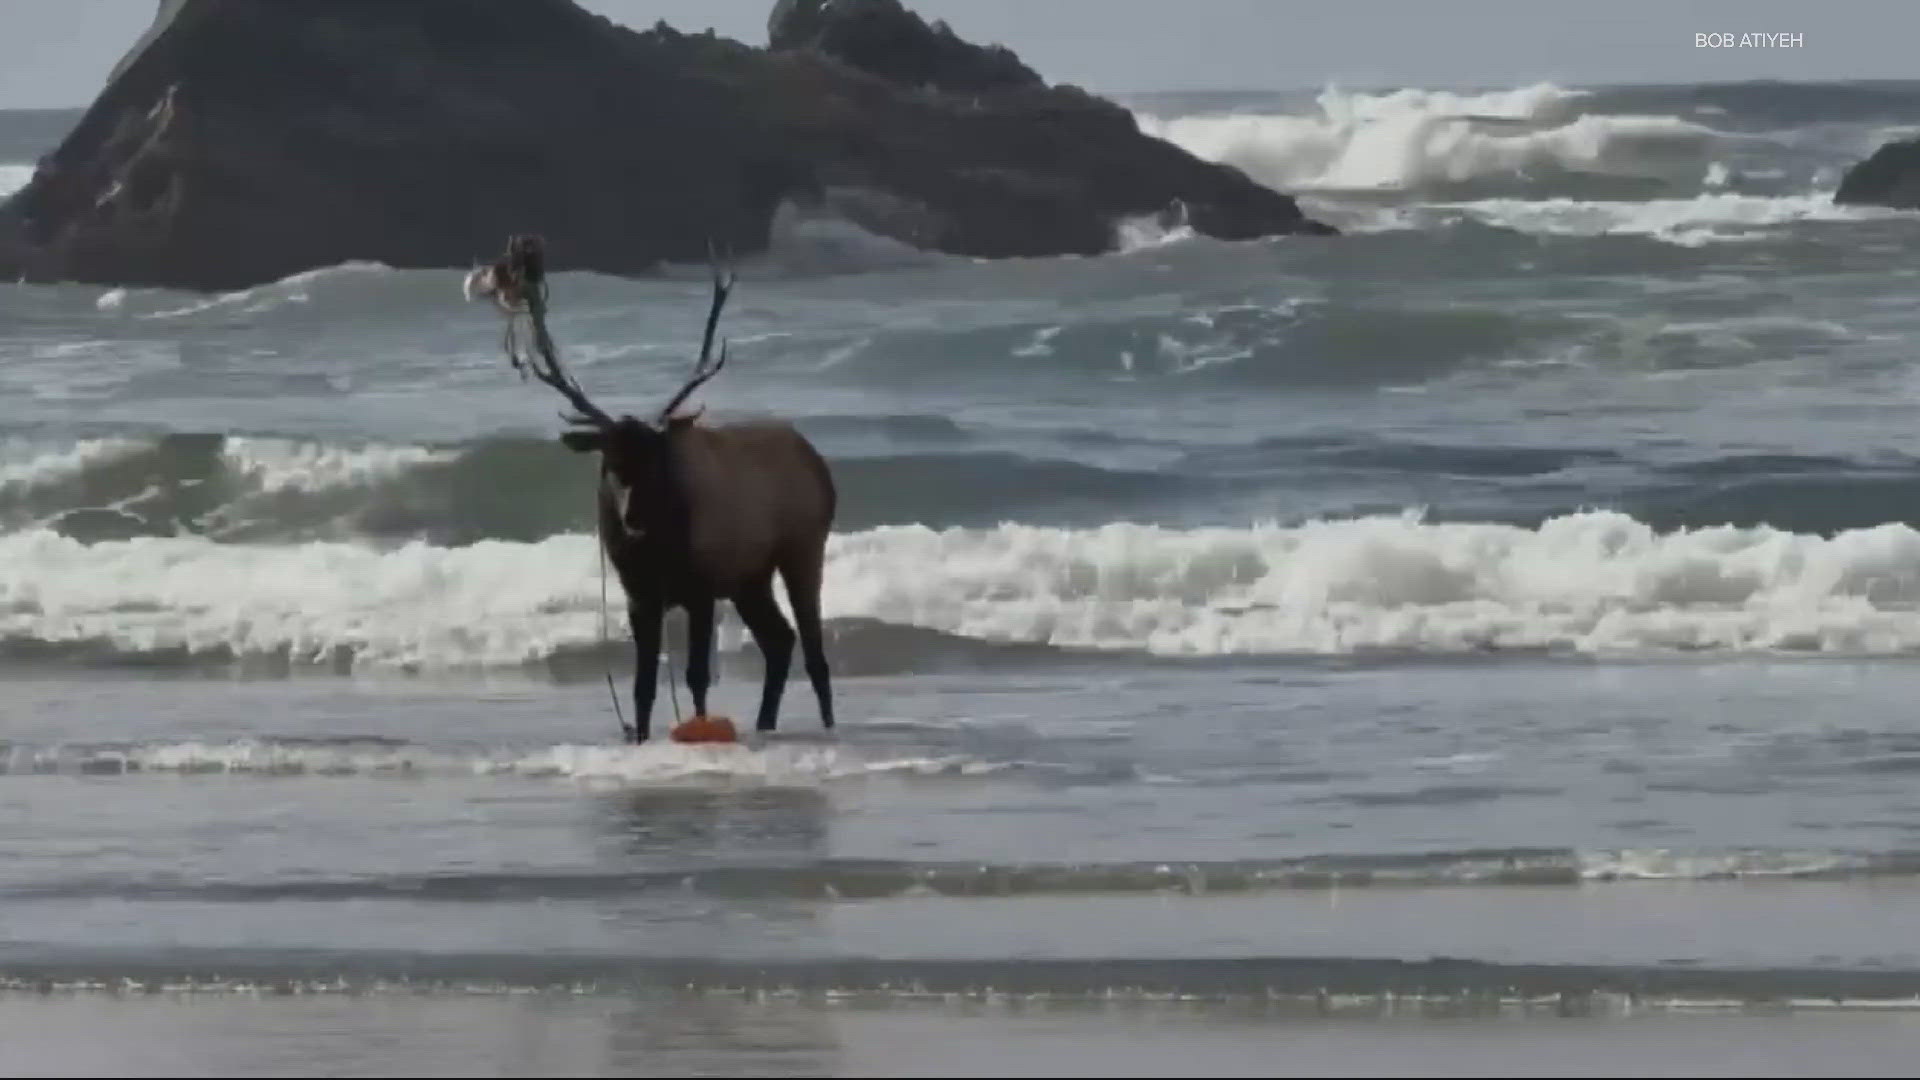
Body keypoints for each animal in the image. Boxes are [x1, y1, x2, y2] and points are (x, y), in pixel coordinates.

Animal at [469, 235, 836, 743]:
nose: (633, 519)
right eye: (610, 462)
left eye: (655, 460)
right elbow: (643, 685)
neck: (658, 551)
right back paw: (765, 724)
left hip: (802, 546)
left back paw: (824, 723)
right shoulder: (639, 595)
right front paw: (640, 736)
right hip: (750, 577)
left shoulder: (701, 588)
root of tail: (817, 461)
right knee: (779, 640)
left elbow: (697, 677)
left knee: (812, 647)